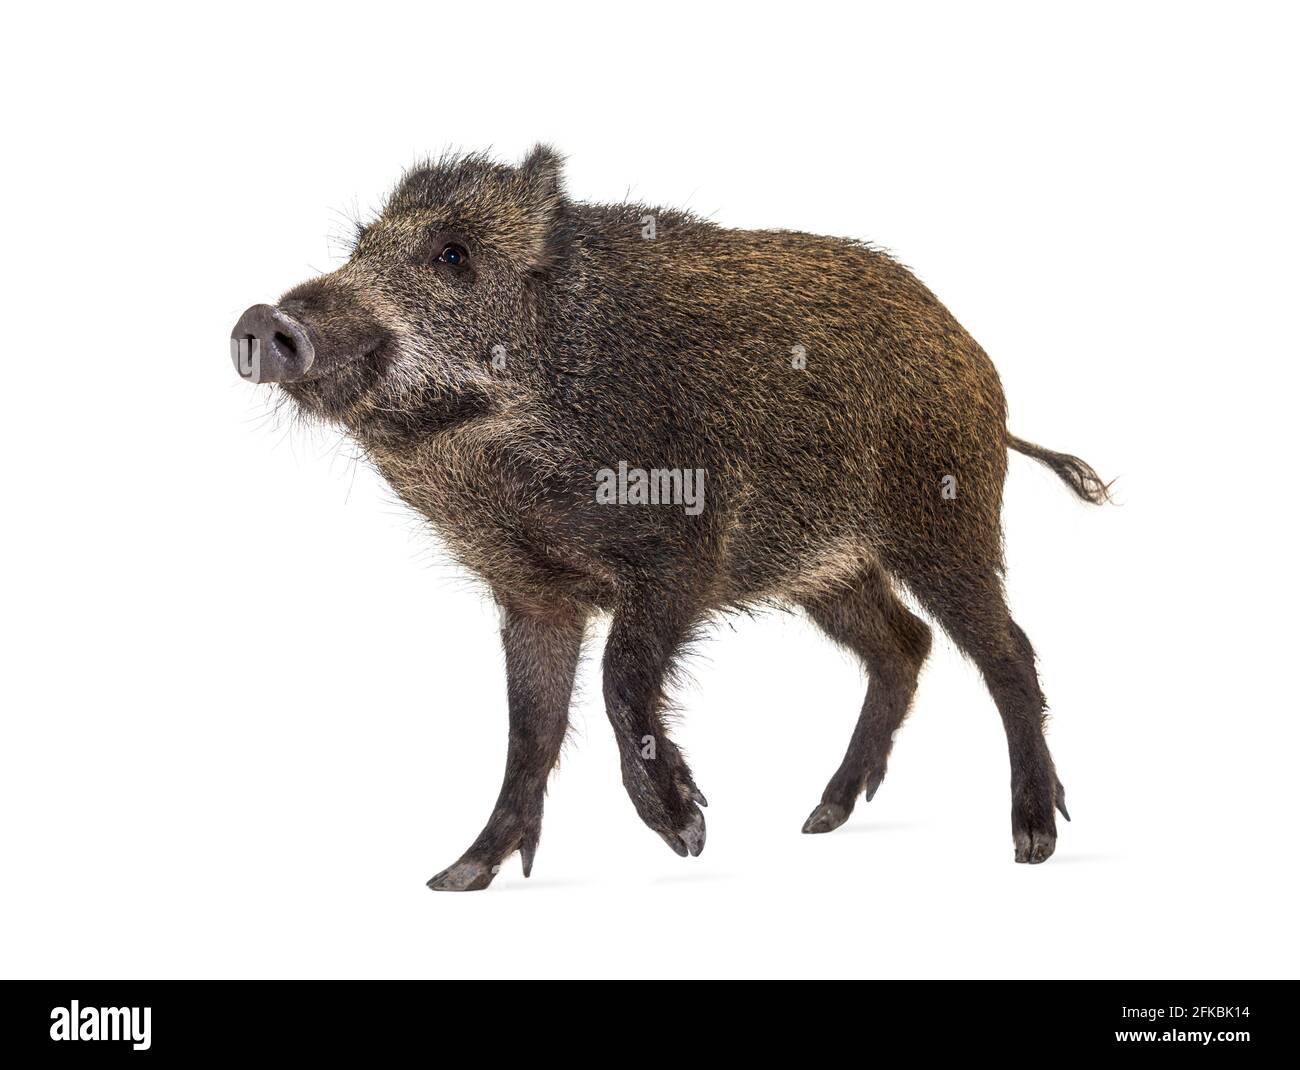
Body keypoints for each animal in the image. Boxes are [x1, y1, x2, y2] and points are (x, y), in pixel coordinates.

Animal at [231, 146, 1110, 890]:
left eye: (453, 255)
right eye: (363, 244)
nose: (262, 320)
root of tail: (979, 364)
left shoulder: (685, 552)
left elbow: (620, 677)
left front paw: (688, 831)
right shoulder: (533, 591)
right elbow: (529, 727)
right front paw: (458, 878)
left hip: (944, 523)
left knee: (1006, 650)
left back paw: (1032, 841)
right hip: (826, 569)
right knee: (904, 642)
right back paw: (821, 817)